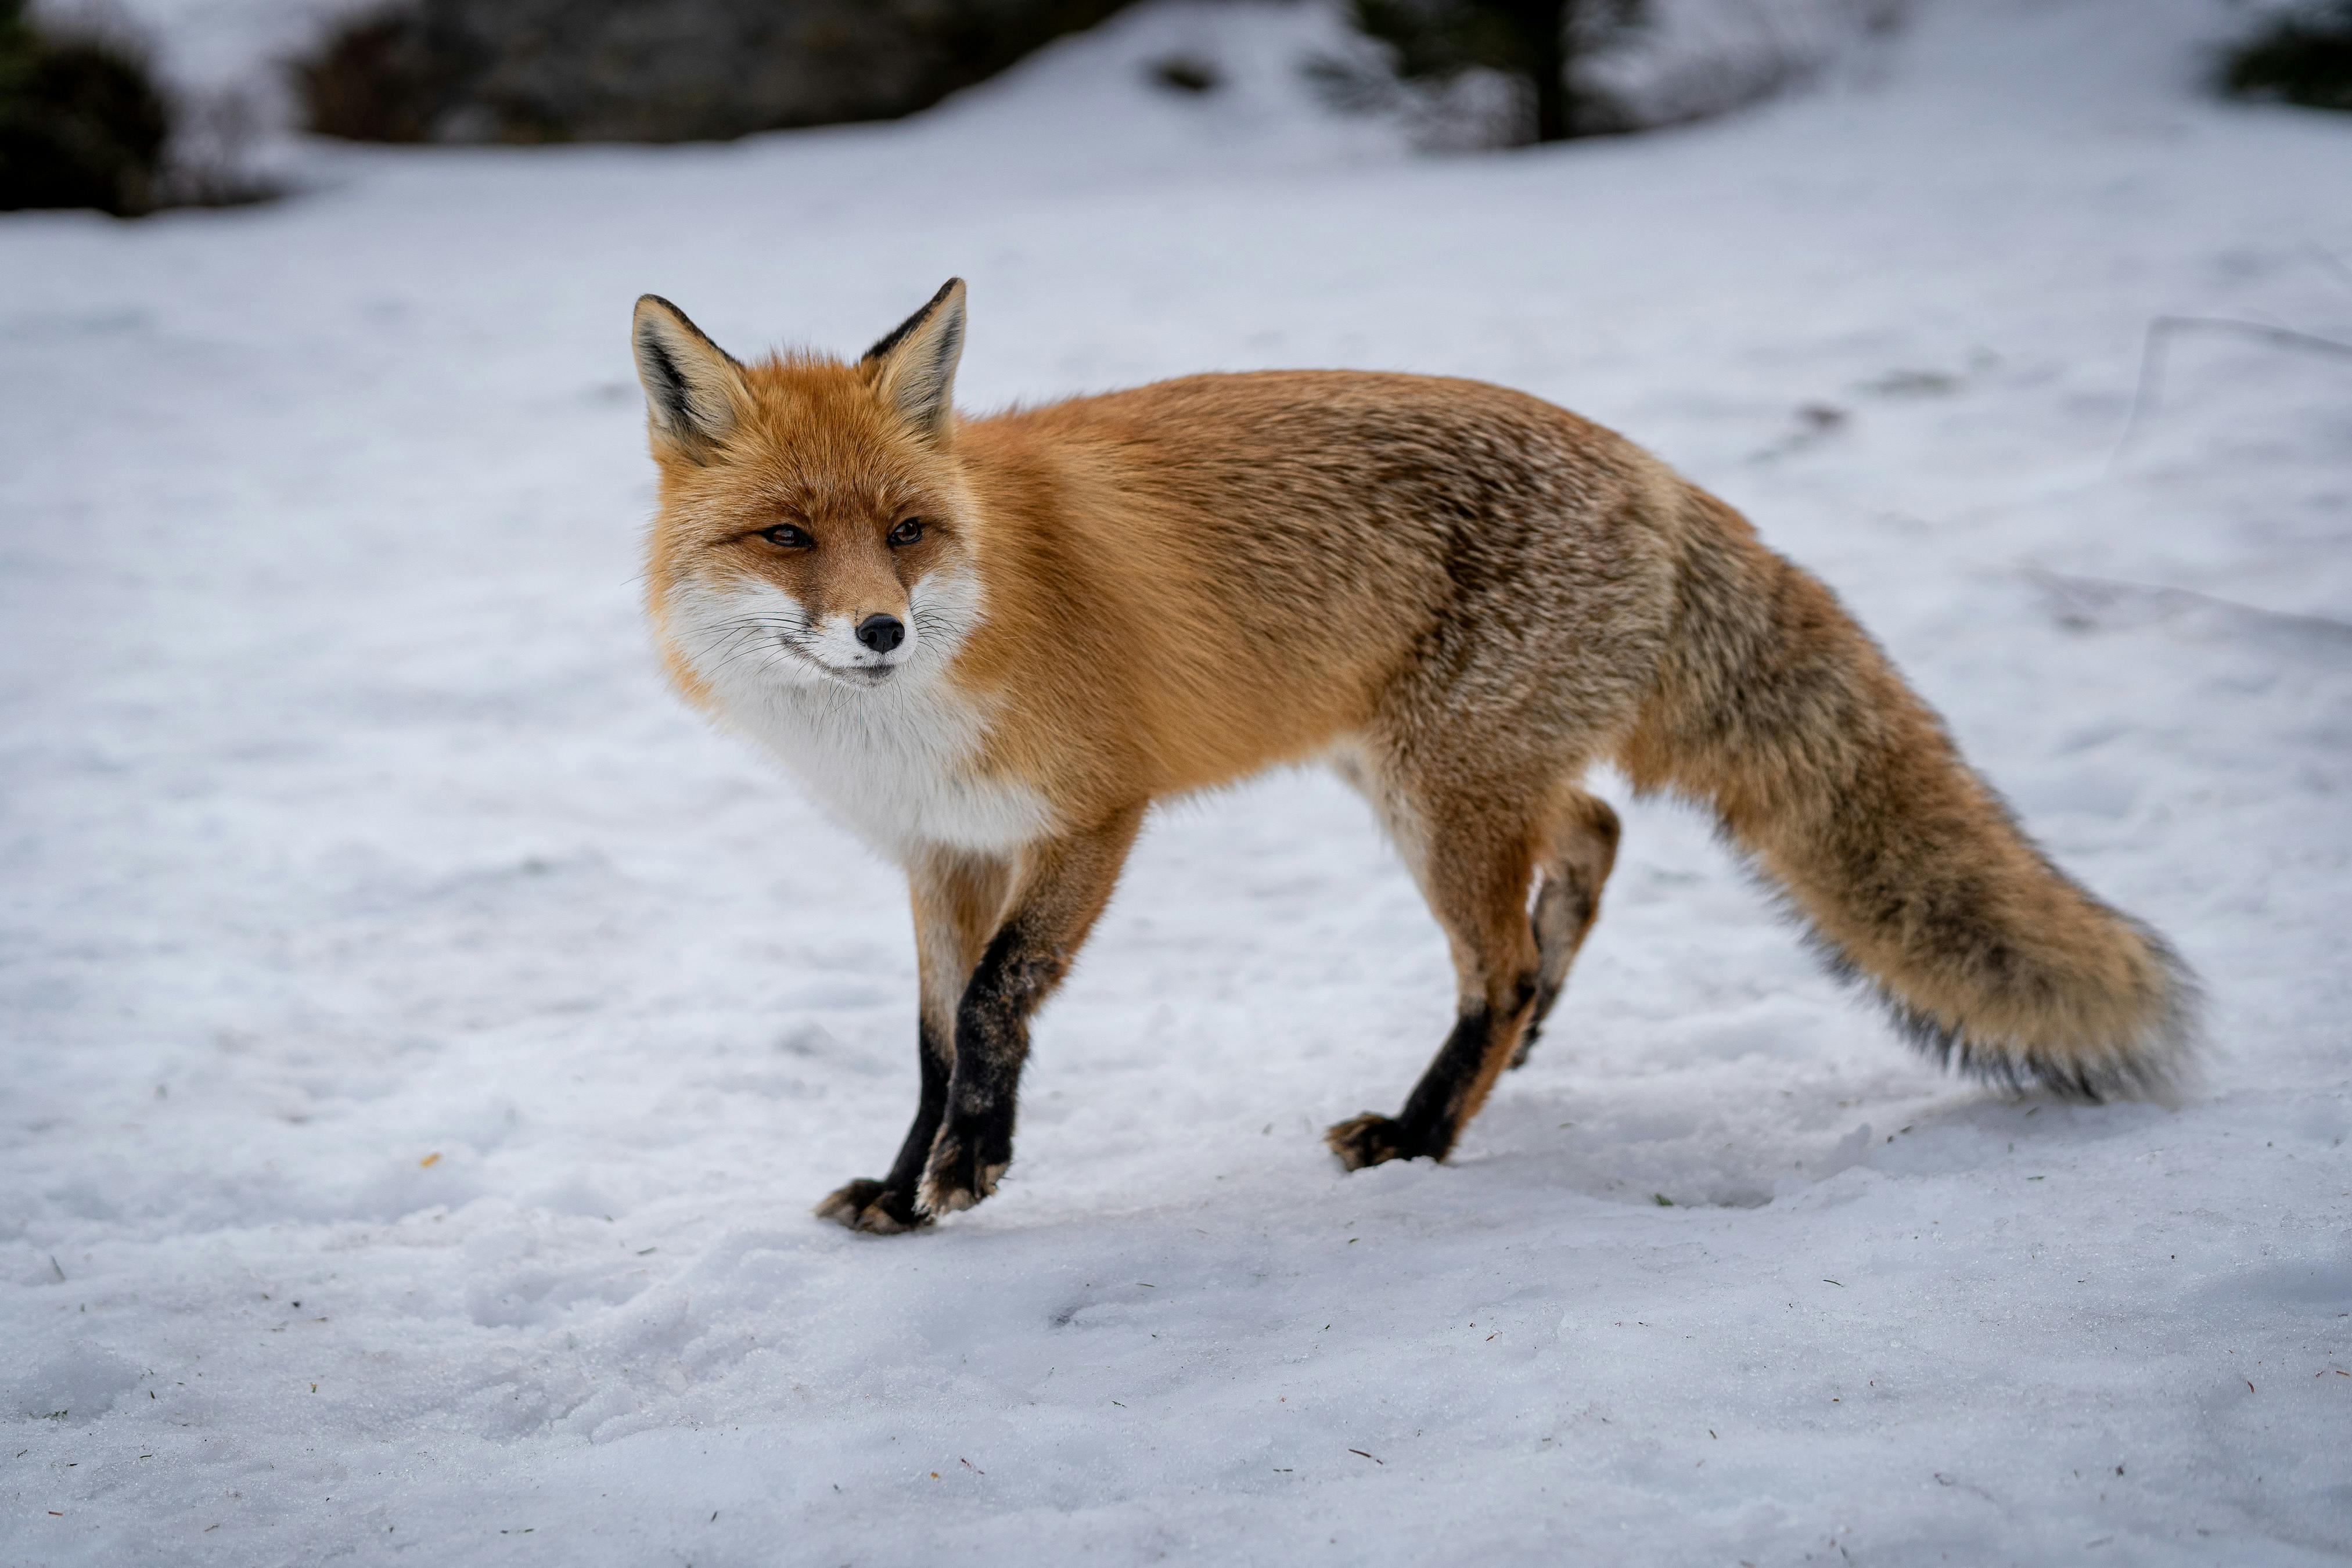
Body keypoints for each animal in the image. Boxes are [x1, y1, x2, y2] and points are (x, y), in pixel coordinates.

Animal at [630, 277, 2198, 1234]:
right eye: (786, 535)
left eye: (907, 530)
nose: (881, 631)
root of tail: (1656, 472)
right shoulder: (939, 849)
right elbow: (934, 1039)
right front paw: (904, 1191)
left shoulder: (1091, 818)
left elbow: (999, 1005)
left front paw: (974, 1165)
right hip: (1427, 771)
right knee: (1592, 835)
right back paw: (1522, 1042)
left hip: (1433, 794)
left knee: (1496, 957)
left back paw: (1423, 1131)